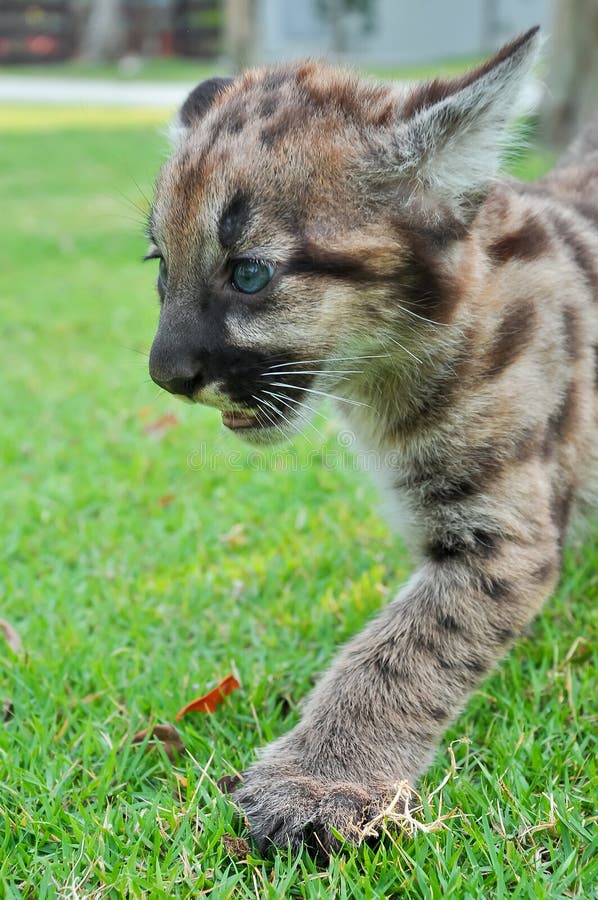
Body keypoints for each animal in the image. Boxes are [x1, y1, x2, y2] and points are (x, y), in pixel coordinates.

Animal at [146, 27, 598, 854]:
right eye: (161, 265)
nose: (166, 374)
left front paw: (319, 780)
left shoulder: (500, 534)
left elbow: (405, 647)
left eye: (249, 274)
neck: (383, 386)